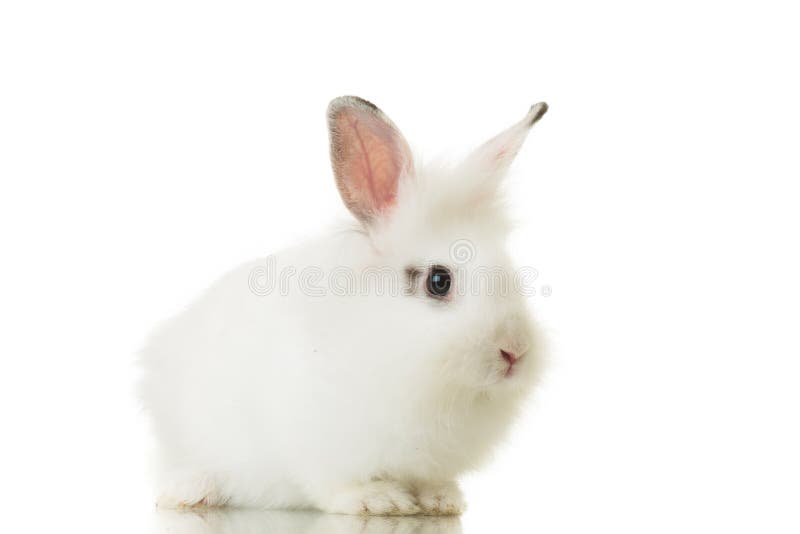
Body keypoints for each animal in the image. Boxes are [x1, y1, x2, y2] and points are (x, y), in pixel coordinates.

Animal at [139, 96, 548, 516]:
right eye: (439, 281)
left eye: (511, 271)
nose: (515, 352)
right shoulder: (315, 439)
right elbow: (333, 483)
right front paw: (379, 500)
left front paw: (442, 500)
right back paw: (190, 491)